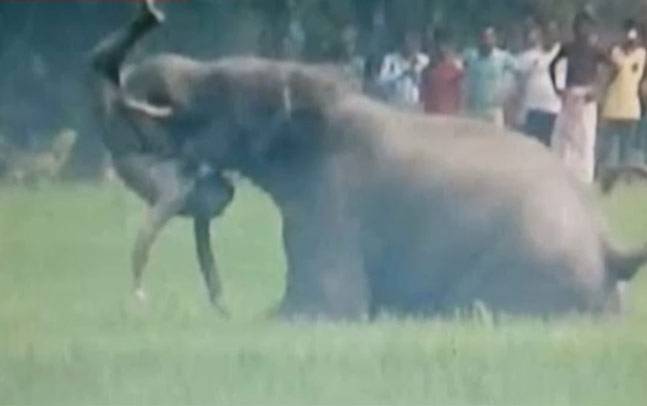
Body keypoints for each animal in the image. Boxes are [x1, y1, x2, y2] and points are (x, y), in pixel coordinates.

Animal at [92, 1, 647, 320]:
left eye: (223, 90)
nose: (152, 11)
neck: (318, 93)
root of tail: (609, 249)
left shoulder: (329, 202)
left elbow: (323, 307)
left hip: (526, 269)